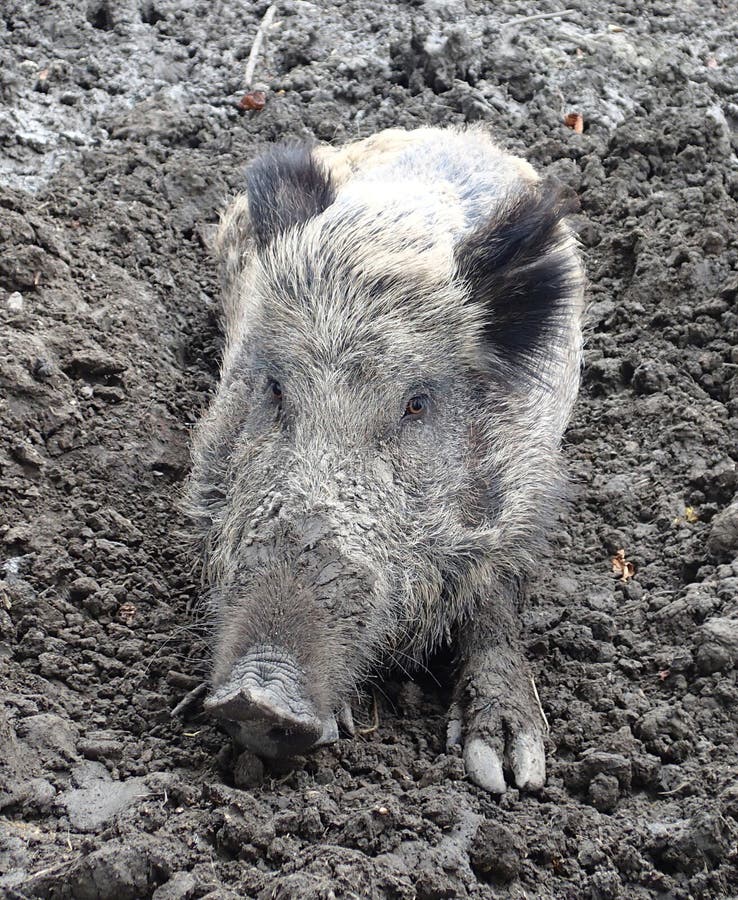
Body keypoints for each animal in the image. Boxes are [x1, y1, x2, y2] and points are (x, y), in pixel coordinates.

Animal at [186, 126, 585, 793]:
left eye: (415, 405)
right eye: (274, 389)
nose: (257, 698)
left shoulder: (524, 496)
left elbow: (494, 606)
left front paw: (509, 774)